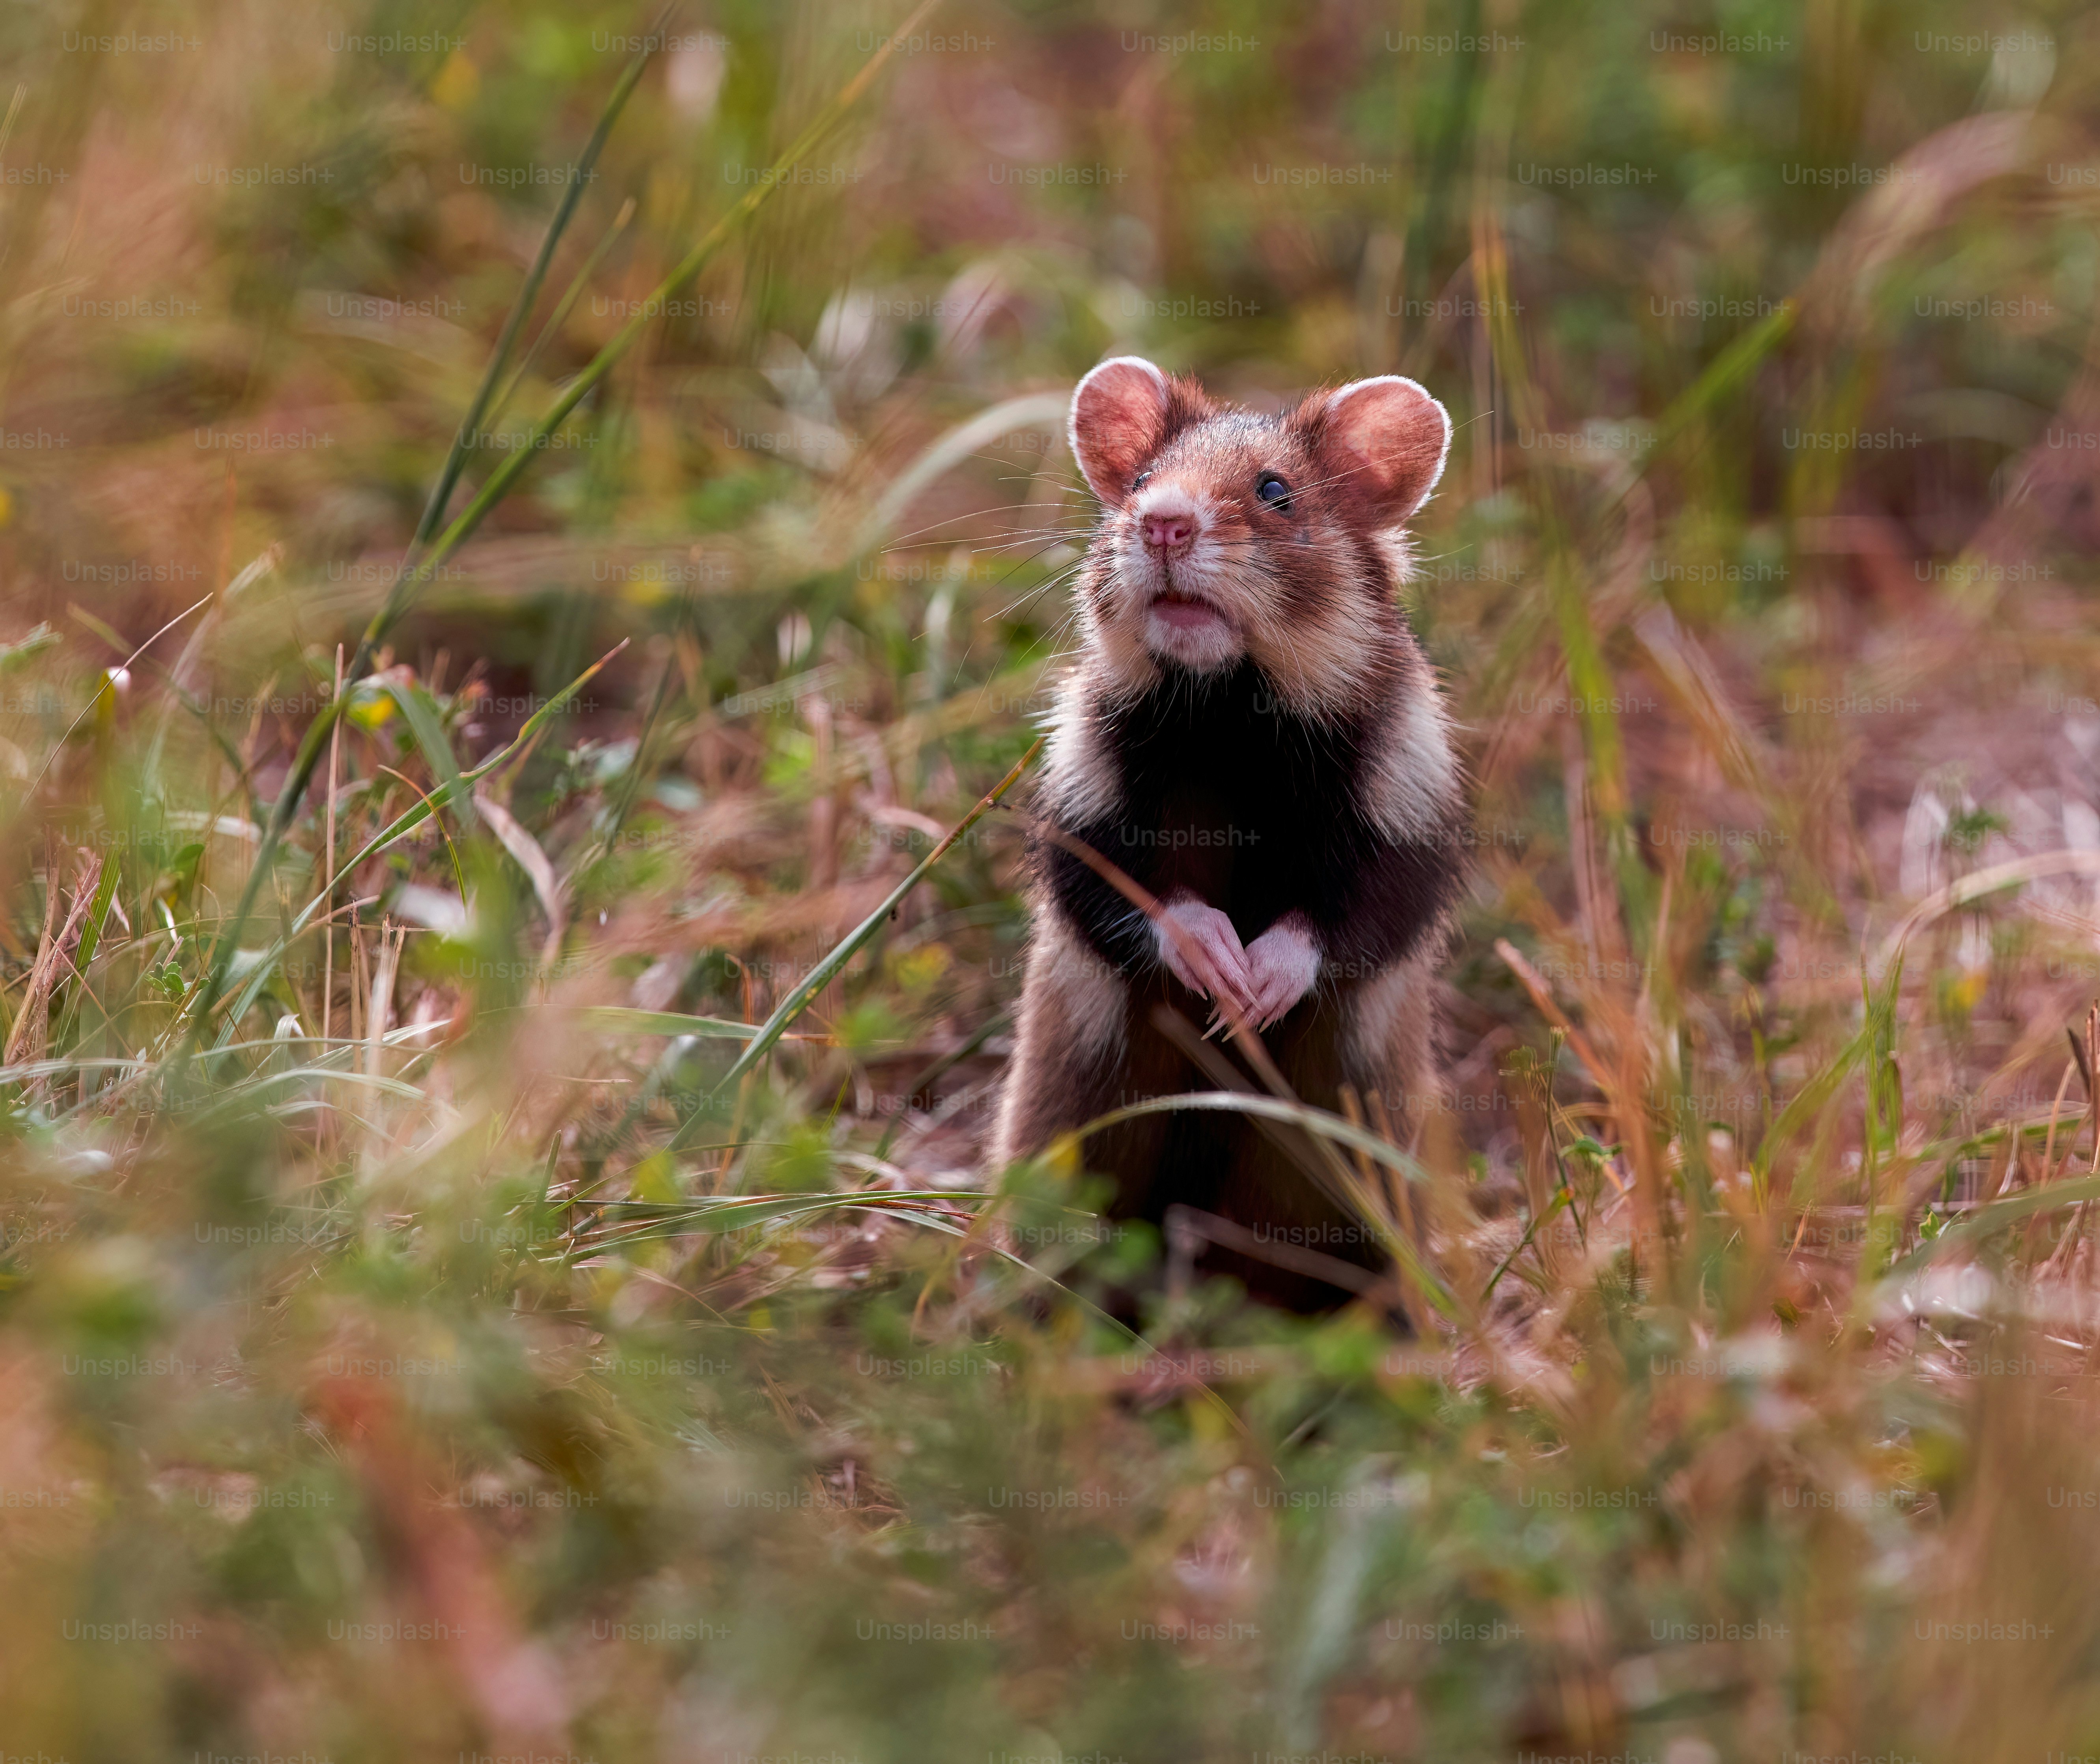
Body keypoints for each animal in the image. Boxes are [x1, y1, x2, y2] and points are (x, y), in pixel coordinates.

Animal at [989, 357, 1467, 1311]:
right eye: (1140, 480)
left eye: (1275, 491)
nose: (1164, 521)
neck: (1229, 715)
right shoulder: (1082, 810)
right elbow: (1130, 895)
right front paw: (1218, 968)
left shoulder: (1410, 822)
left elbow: (1348, 920)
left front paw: (1256, 992)